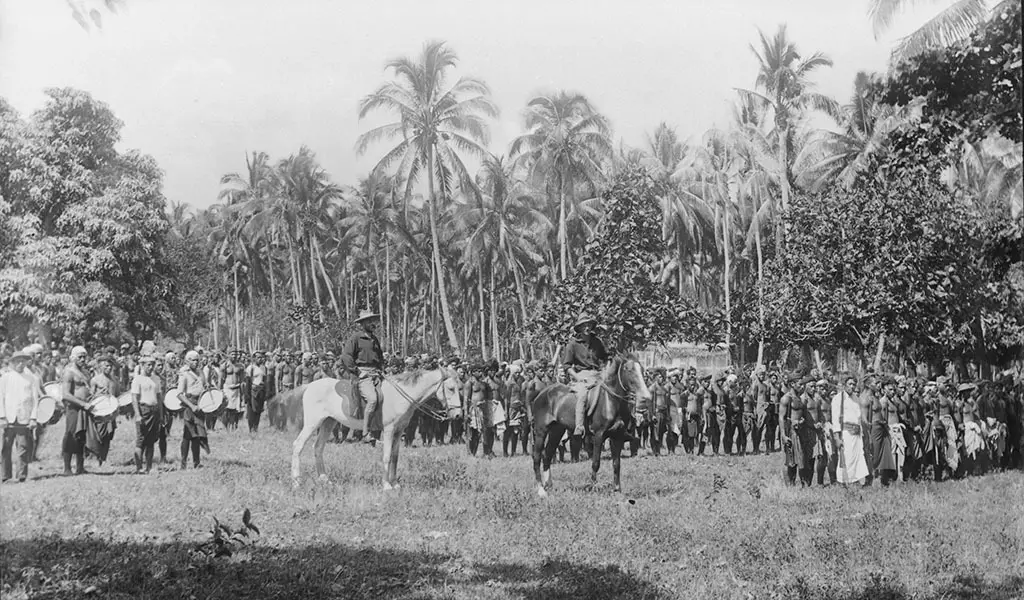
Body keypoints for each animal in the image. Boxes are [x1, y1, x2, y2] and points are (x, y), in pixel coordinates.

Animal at [290, 366, 462, 487]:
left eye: (459, 388)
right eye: (451, 388)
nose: (458, 415)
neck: (399, 396)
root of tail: (309, 386)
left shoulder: (399, 431)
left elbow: (395, 457)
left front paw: (395, 484)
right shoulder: (389, 430)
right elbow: (386, 456)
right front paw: (386, 485)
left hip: (328, 422)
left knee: (318, 448)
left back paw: (325, 480)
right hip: (313, 423)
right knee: (298, 445)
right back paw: (297, 481)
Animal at [532, 352, 651, 493]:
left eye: (642, 369)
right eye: (628, 369)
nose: (646, 396)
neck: (610, 401)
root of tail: (542, 394)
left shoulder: (617, 437)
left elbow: (616, 463)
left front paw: (617, 489)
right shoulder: (599, 435)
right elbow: (596, 463)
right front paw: (593, 485)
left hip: (557, 430)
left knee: (547, 455)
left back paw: (548, 485)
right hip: (541, 431)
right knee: (537, 457)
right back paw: (541, 490)